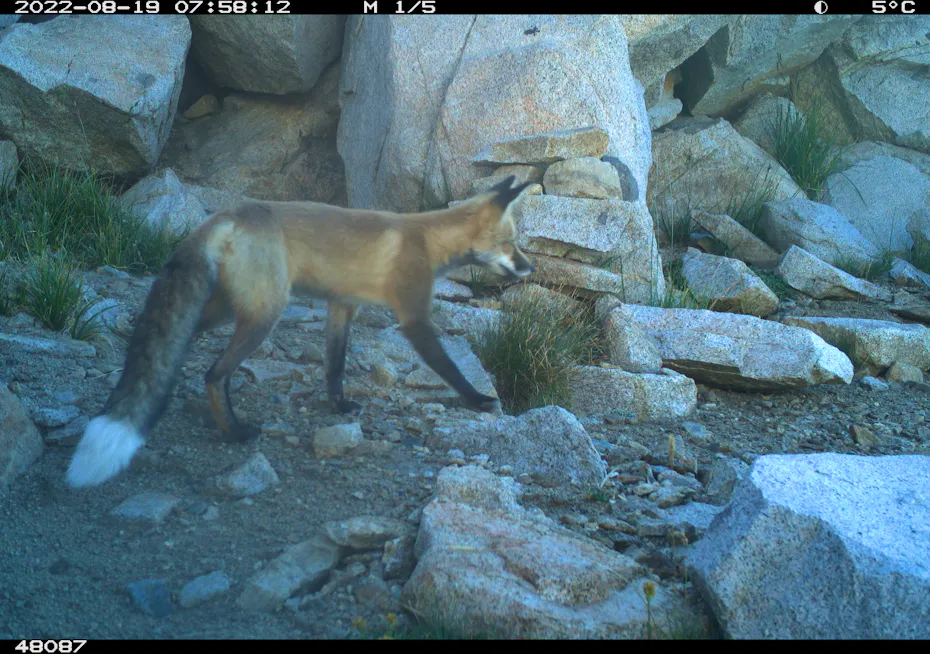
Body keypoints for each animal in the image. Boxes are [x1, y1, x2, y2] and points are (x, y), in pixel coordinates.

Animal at [65, 176, 535, 488]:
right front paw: (478, 400)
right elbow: (449, 369)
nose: (530, 268)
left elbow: (335, 365)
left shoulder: (342, 305)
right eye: (511, 244)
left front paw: (339, 406)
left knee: (171, 344)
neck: (427, 239)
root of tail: (228, 214)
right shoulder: (413, 318)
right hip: (264, 314)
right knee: (215, 374)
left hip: (223, 309)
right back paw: (234, 432)